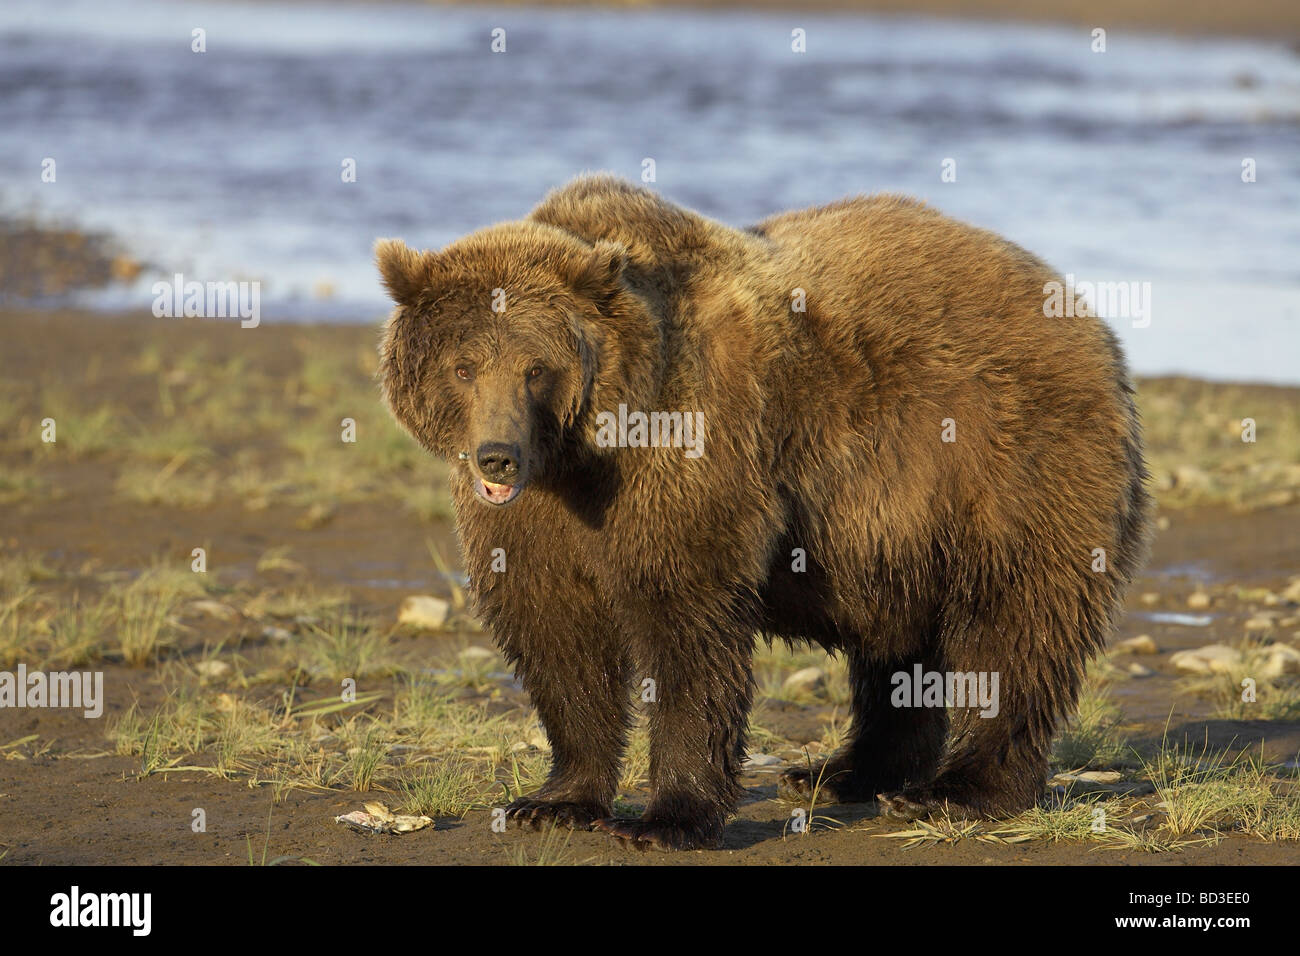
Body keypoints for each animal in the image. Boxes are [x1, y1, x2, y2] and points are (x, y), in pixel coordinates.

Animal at [375, 174, 1151, 851]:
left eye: (536, 367)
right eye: (464, 366)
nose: (497, 457)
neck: (583, 454)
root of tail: (1080, 312)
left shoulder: (690, 445)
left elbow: (685, 621)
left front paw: (665, 819)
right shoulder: (535, 519)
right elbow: (554, 632)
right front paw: (554, 800)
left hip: (1005, 459)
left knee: (1012, 622)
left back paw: (958, 789)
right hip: (897, 528)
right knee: (898, 645)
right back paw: (841, 772)